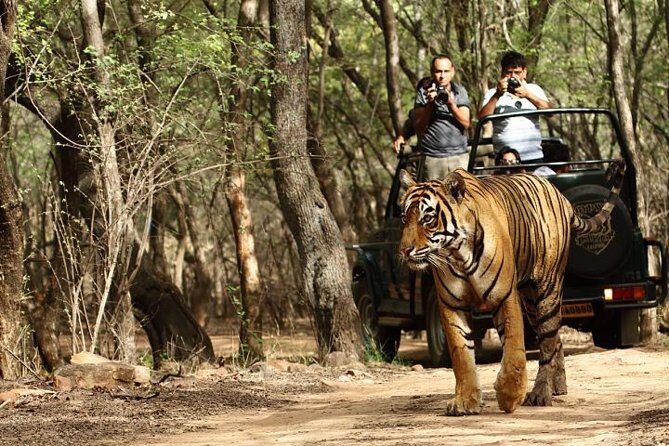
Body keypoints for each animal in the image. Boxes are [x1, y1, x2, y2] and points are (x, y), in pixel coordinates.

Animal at [398, 160, 625, 416]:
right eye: (404, 218)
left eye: (427, 218)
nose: (404, 250)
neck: (457, 254)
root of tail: (560, 195)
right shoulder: (451, 305)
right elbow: (461, 355)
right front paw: (466, 401)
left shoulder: (505, 297)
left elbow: (514, 349)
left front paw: (510, 396)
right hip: (531, 302)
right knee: (555, 339)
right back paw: (558, 386)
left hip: (547, 290)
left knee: (547, 342)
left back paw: (540, 394)